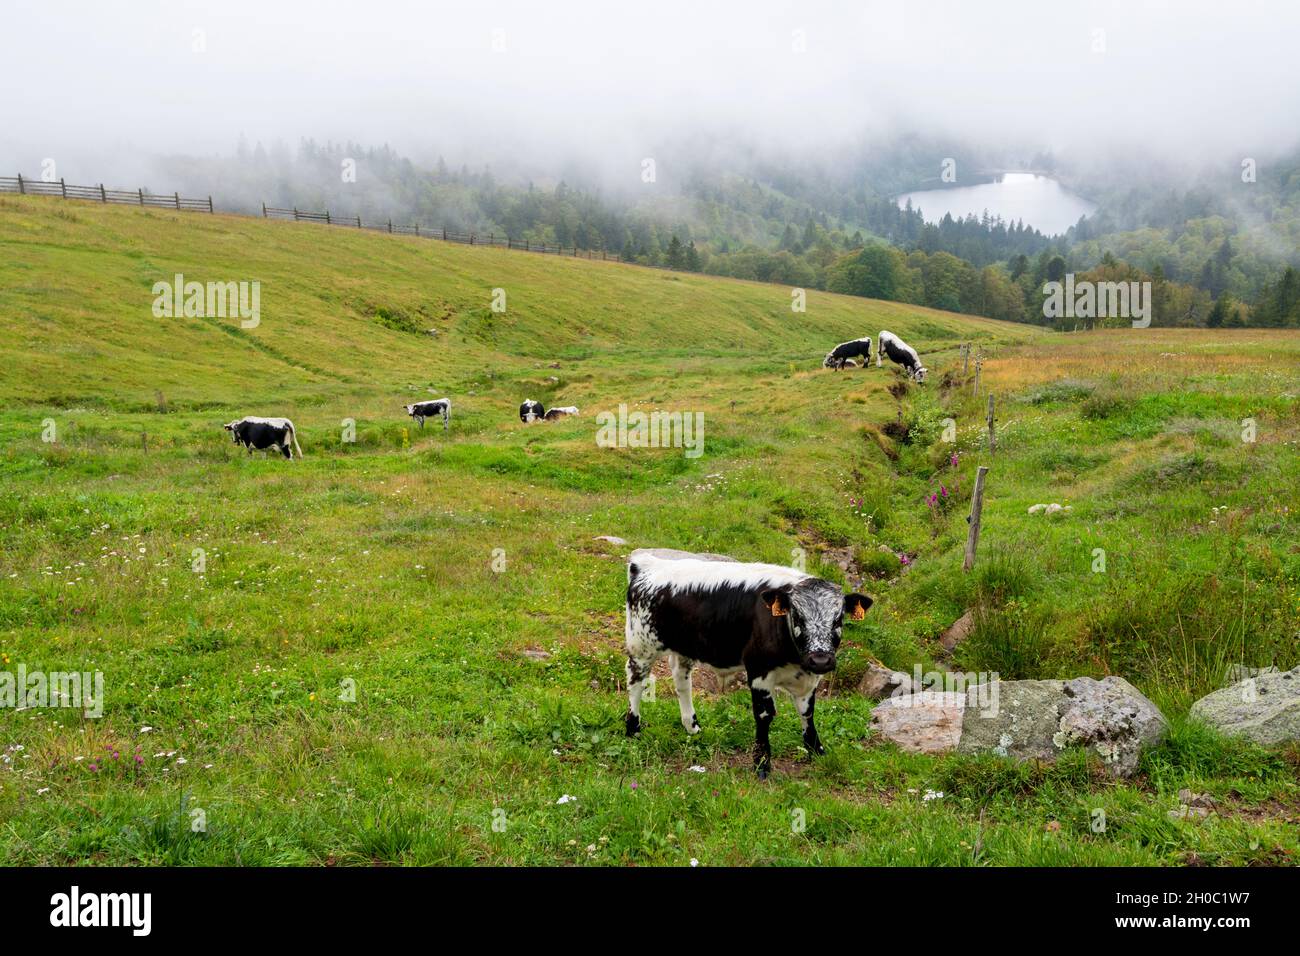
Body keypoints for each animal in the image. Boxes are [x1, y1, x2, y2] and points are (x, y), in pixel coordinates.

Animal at [623, 548, 872, 778]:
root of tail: (645, 564)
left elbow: (807, 712)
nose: (820, 659)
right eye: (798, 617)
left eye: (838, 619)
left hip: (684, 648)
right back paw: (633, 729)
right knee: (635, 682)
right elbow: (764, 715)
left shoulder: (809, 678)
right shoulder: (759, 670)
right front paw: (762, 764)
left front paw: (816, 750)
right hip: (641, 645)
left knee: (682, 680)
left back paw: (692, 727)